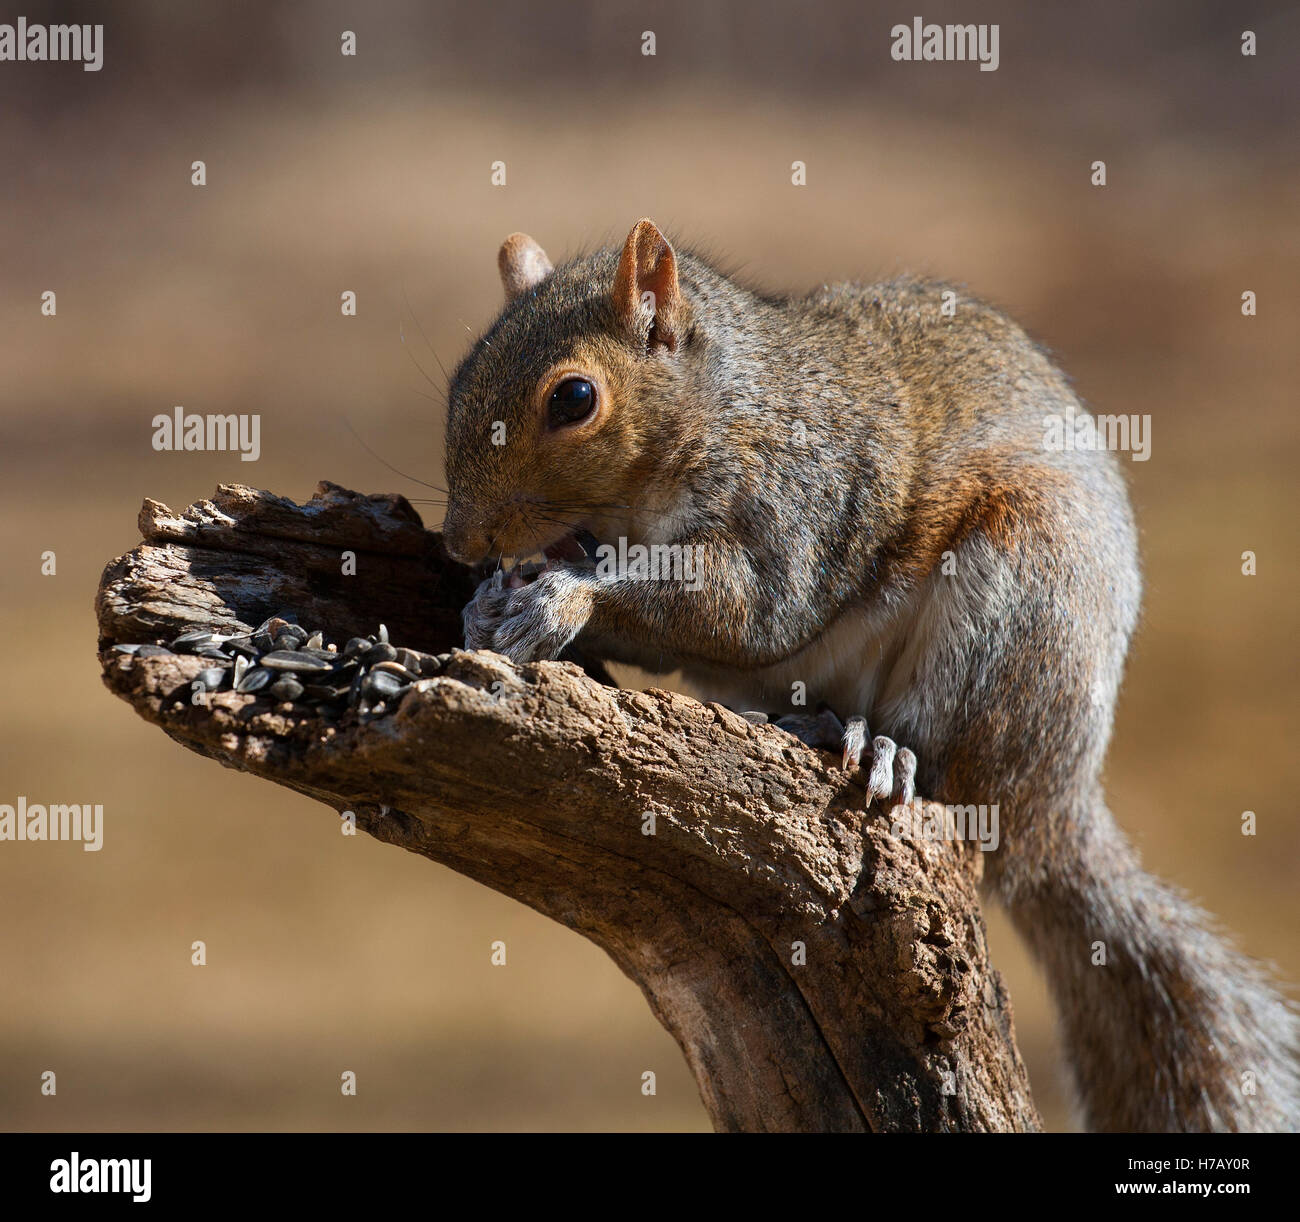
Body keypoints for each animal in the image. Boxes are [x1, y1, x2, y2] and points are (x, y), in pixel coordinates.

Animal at [440, 217, 1299, 1133]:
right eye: (461, 376)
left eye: (573, 399)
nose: (461, 541)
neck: (720, 408)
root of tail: (1054, 805)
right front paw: (497, 598)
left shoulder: (802, 499)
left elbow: (750, 608)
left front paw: (561, 598)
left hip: (1018, 596)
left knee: (951, 769)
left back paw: (882, 747)